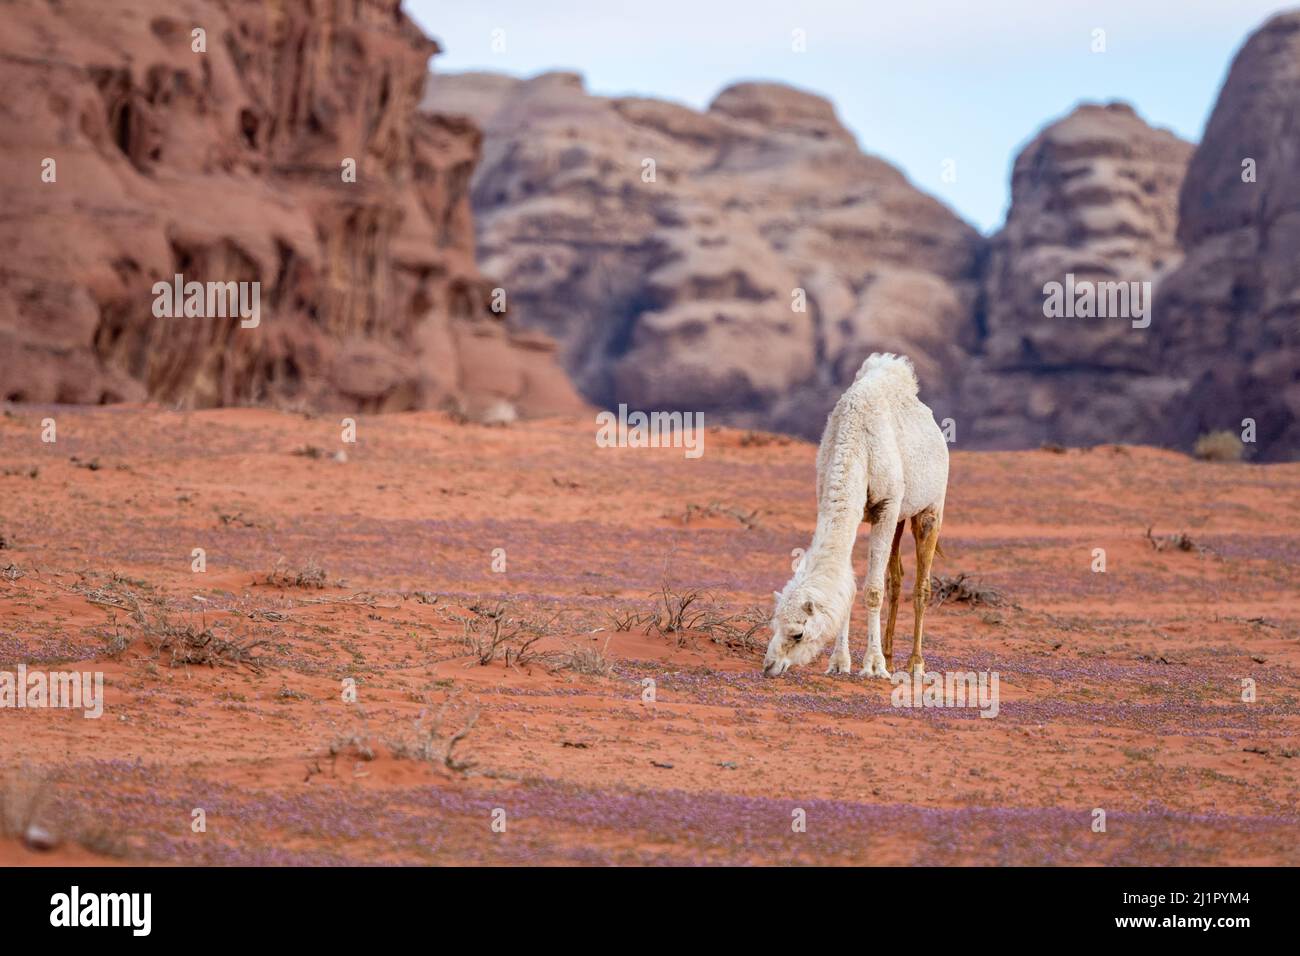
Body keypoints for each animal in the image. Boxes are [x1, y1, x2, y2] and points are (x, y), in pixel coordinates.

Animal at [762, 353, 948, 679]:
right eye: (774, 625)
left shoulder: (886, 505)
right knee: (895, 578)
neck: (856, 444)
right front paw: (840, 663)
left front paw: (873, 666)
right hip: (899, 518)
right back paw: (891, 656)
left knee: (921, 585)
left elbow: (873, 589)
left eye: (798, 633)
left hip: (930, 508)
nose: (769, 666)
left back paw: (915, 664)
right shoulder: (849, 507)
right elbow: (849, 587)